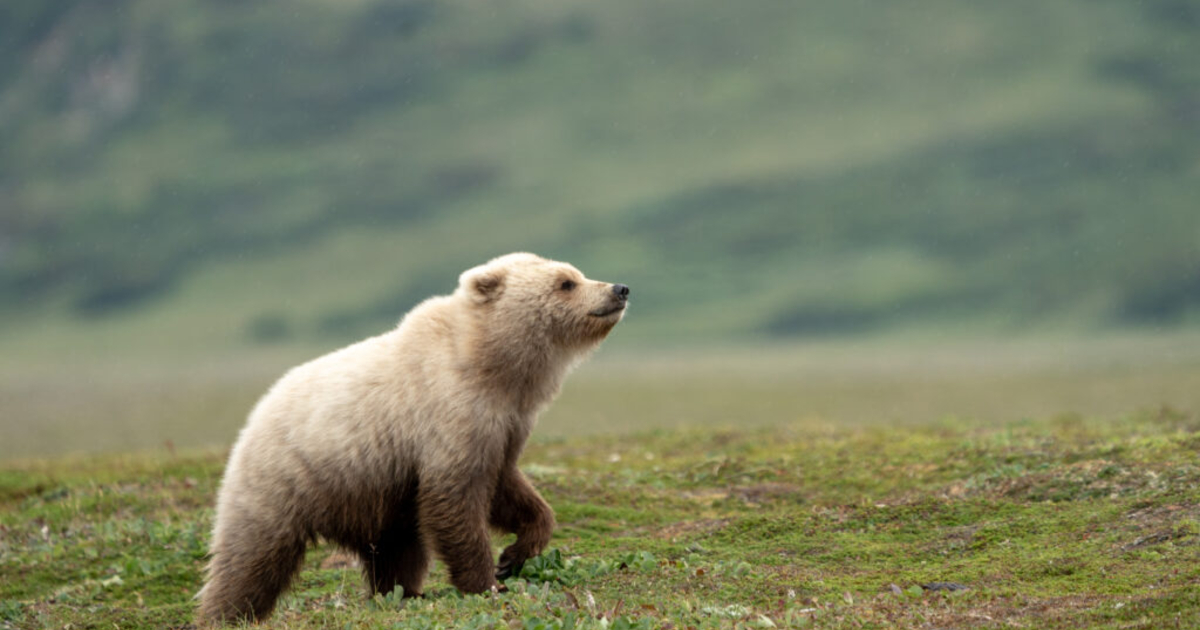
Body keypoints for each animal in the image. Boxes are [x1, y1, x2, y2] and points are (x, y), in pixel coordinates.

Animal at [196, 253, 629, 625]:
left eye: (575, 274)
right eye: (565, 282)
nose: (619, 288)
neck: (494, 367)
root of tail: (255, 413)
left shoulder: (503, 427)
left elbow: (507, 488)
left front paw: (515, 553)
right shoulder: (448, 415)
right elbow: (455, 501)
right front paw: (487, 582)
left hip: (381, 497)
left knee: (398, 548)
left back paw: (403, 592)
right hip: (289, 479)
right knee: (251, 558)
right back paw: (225, 614)